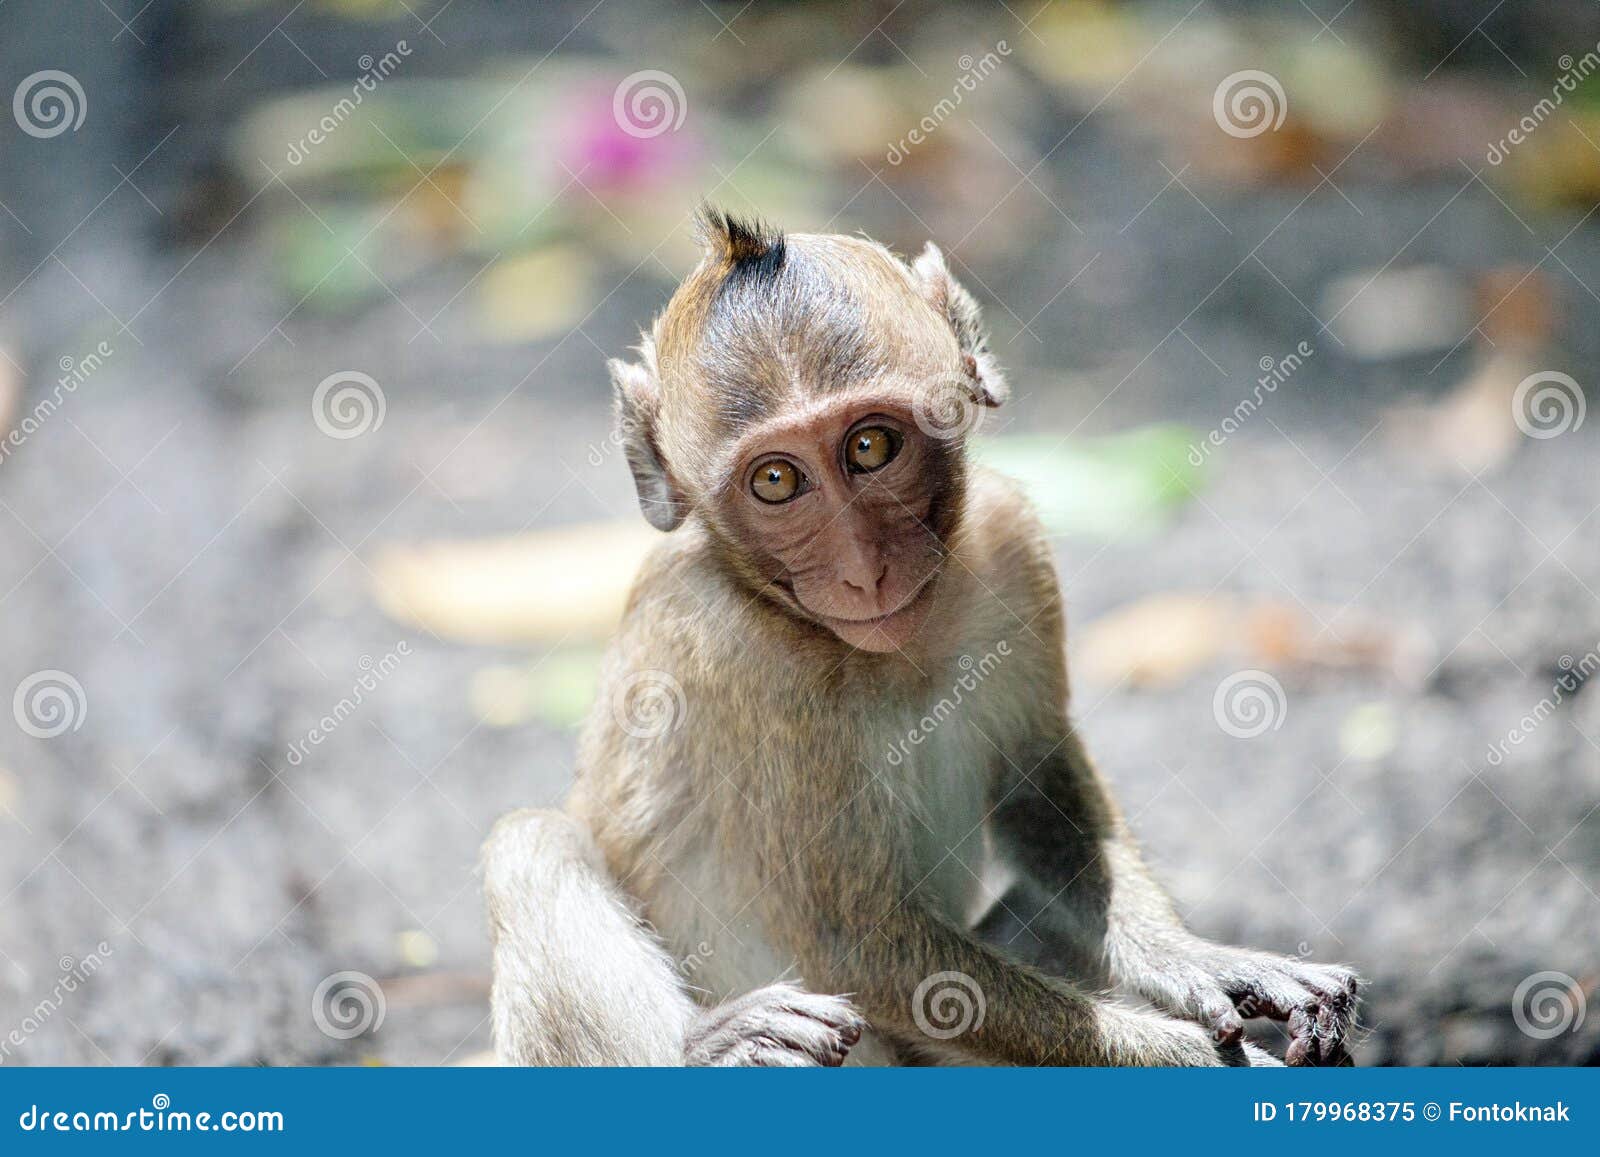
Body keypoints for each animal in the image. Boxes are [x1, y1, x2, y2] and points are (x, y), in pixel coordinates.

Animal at [481, 207, 1360, 1067]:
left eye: (871, 445)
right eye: (777, 480)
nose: (862, 569)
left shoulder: (1011, 547)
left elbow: (1039, 784)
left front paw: (1203, 959)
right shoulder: (736, 655)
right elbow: (861, 944)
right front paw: (1185, 1055)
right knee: (531, 841)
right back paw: (711, 1047)